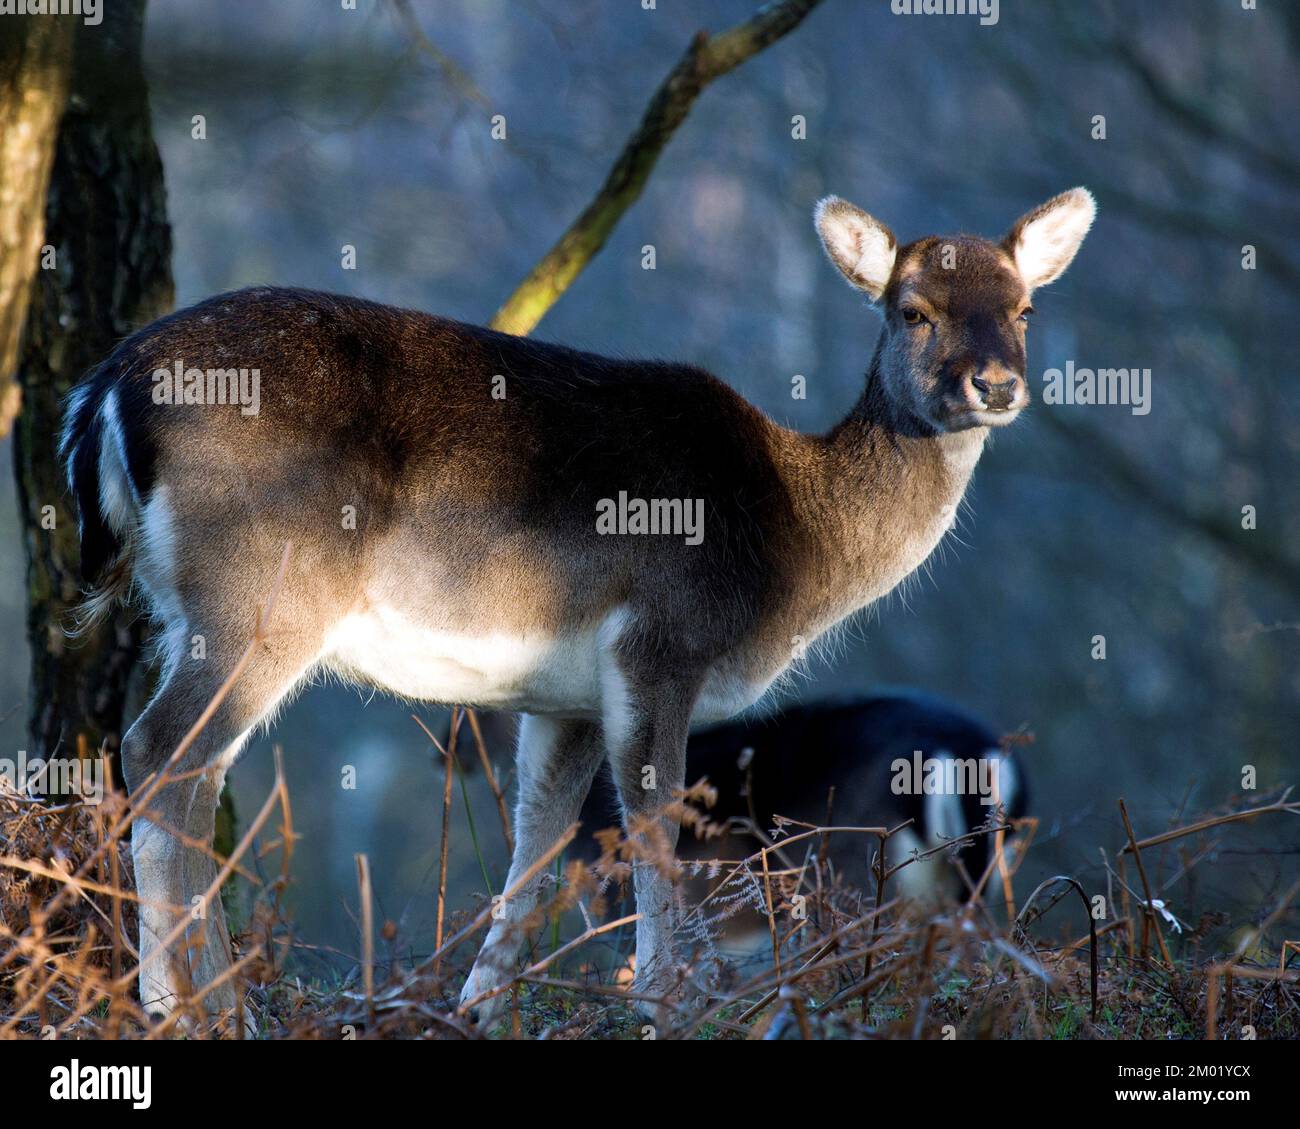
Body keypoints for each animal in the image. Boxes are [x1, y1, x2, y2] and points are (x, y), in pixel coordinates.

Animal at [59, 186, 1094, 1033]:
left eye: (1025, 309)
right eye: (913, 311)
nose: (995, 384)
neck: (793, 544)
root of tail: (103, 389)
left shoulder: (563, 695)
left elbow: (542, 836)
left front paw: (480, 1007)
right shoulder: (660, 639)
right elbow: (653, 820)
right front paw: (665, 1000)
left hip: (189, 607)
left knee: (179, 766)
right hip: (258, 593)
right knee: (163, 753)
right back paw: (191, 1008)